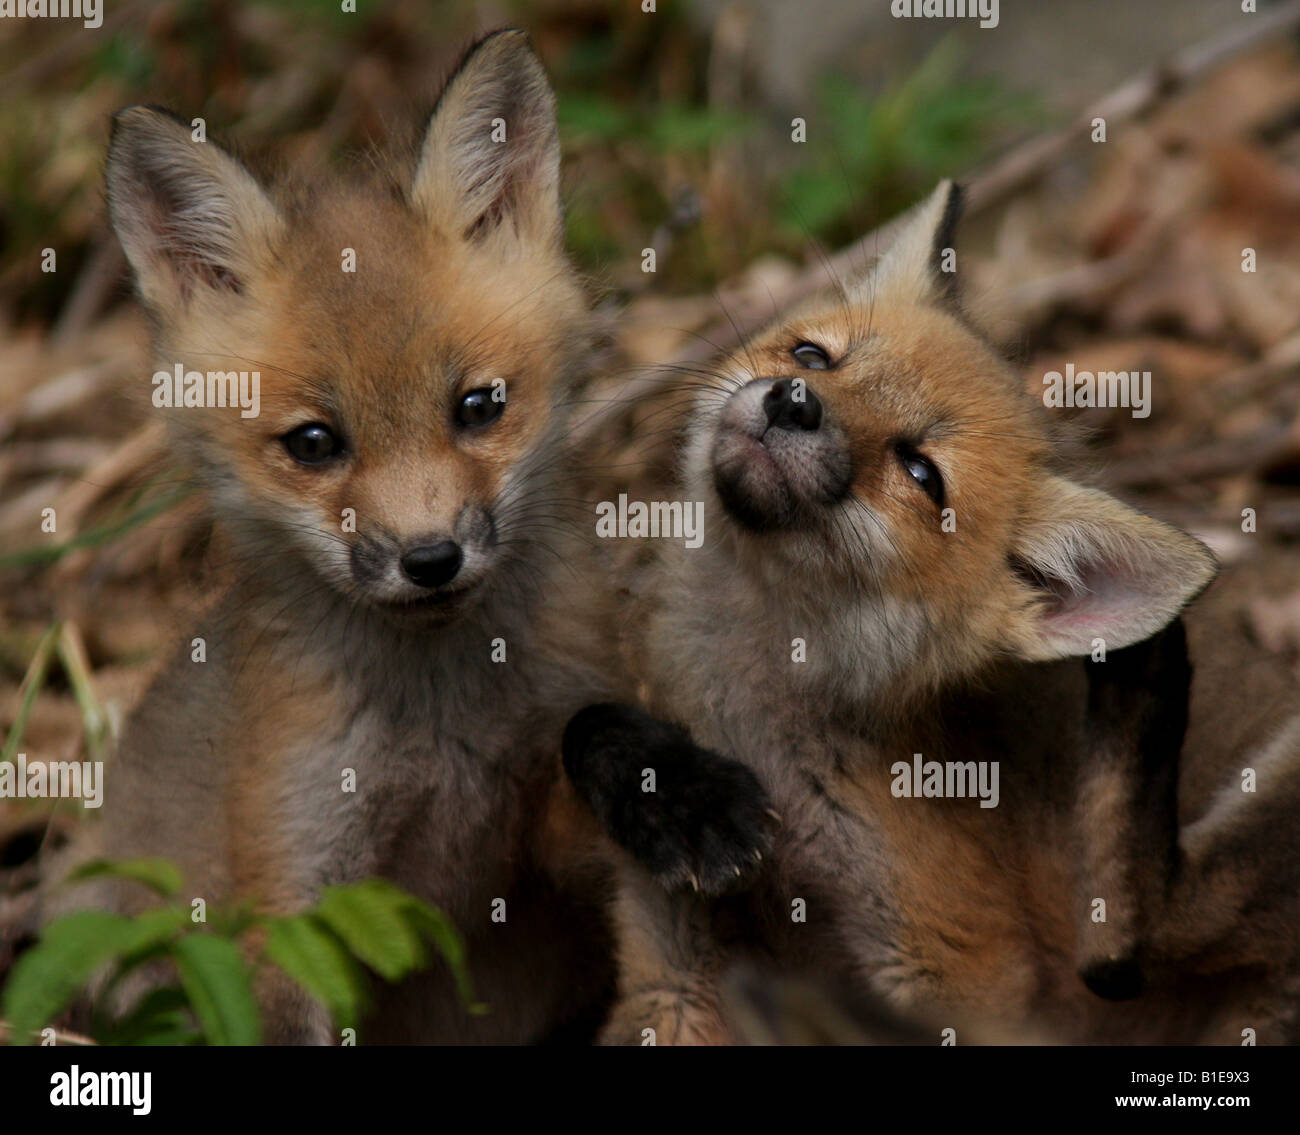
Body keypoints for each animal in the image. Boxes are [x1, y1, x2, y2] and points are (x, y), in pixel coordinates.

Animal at [33, 30, 766, 1045]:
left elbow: (590, 727)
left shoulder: (546, 863)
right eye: (313, 444)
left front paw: (682, 790)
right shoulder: (295, 887)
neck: (438, 723)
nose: (431, 559)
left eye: (479, 406)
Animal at [562, 180, 1300, 1045]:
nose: (794, 401)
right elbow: (584, 723)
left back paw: (1146, 678)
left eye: (920, 473)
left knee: (1132, 944)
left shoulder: (961, 956)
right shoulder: (674, 970)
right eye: (813, 356)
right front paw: (674, 793)